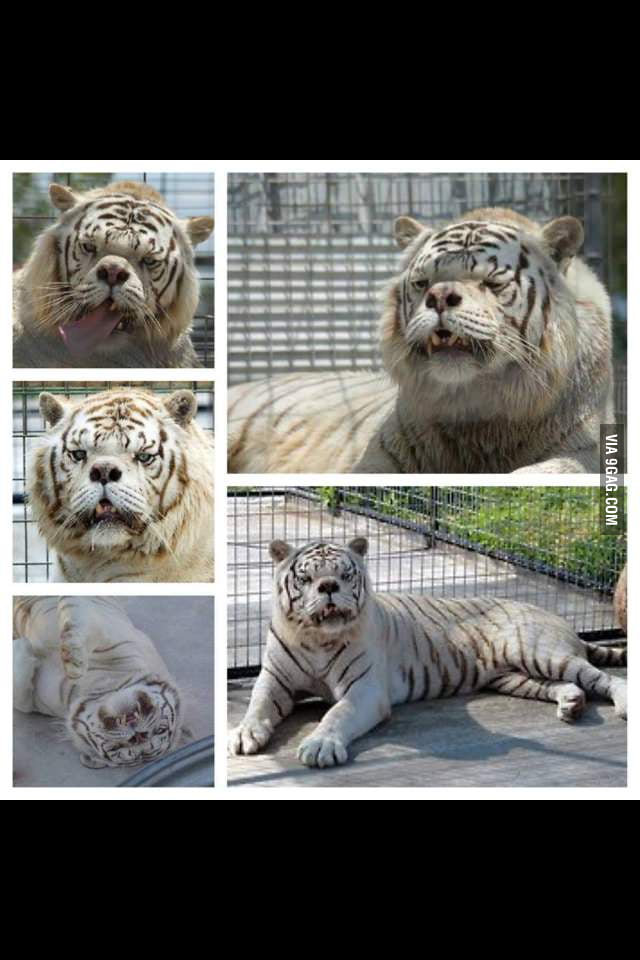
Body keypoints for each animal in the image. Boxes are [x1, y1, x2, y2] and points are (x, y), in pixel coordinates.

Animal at [14, 596, 183, 769]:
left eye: (117, 748)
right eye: (160, 730)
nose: (139, 735)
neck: (98, 683)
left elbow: (22, 699)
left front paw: (21, 646)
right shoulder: (107, 631)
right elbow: (75, 614)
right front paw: (74, 661)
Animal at [228, 208, 613, 474]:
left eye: (492, 282)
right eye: (422, 282)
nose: (440, 297)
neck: (481, 415)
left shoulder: (584, 450)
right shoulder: (380, 458)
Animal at [229, 538, 627, 768]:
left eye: (345, 575)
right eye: (307, 578)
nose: (328, 587)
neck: (316, 638)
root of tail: (553, 615)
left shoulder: (365, 690)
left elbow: (336, 714)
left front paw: (319, 745)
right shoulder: (275, 679)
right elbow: (257, 706)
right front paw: (243, 734)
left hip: (539, 652)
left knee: (604, 679)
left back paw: (621, 704)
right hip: (515, 677)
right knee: (569, 685)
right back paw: (571, 704)